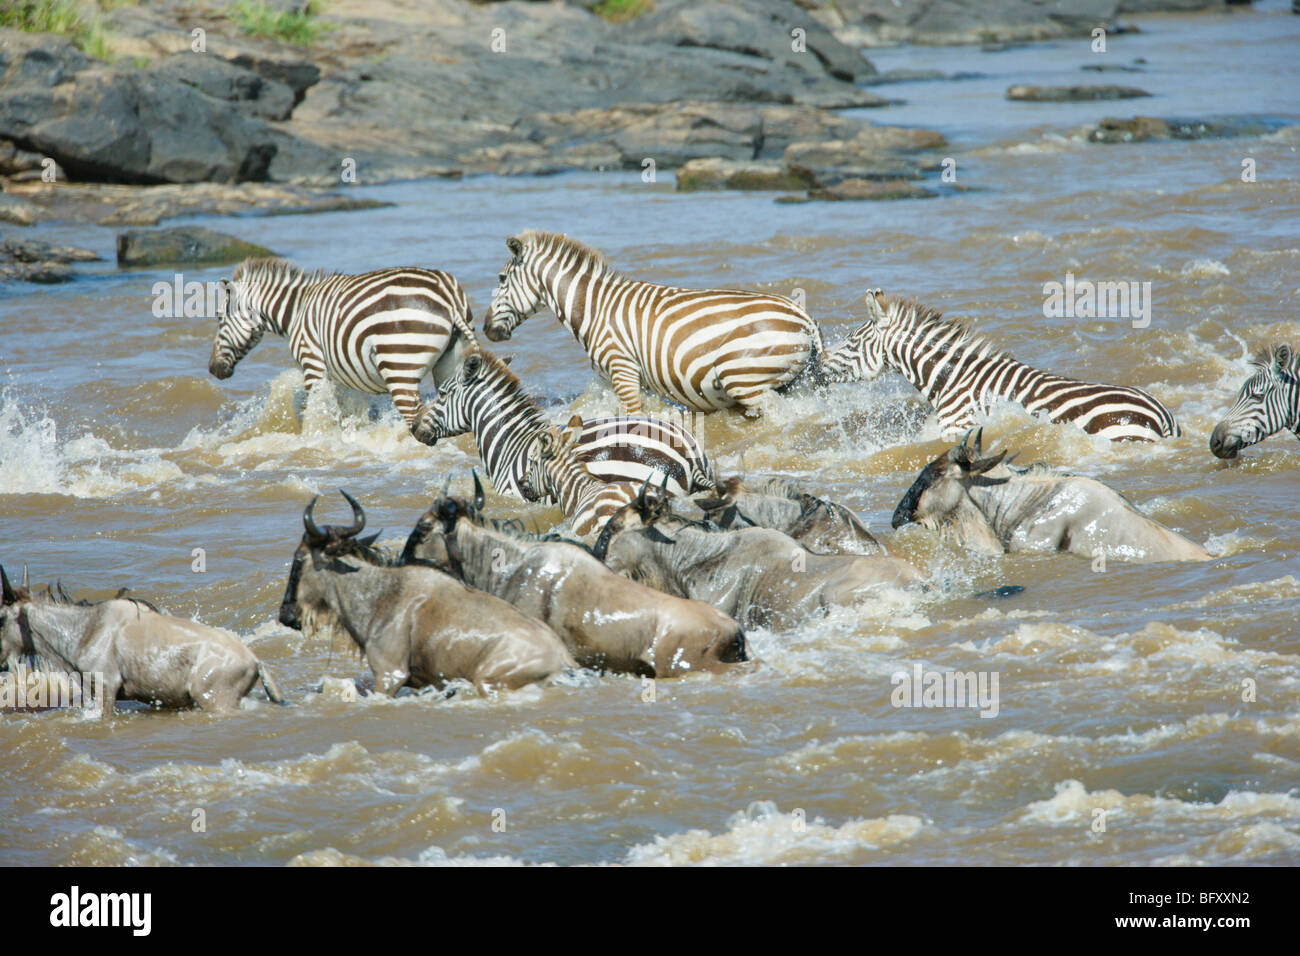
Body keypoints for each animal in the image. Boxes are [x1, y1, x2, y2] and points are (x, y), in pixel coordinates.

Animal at [208, 258, 477, 441]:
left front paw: (315, 439)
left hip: (399, 364)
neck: (296, 311)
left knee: (414, 415)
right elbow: (340, 412)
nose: (212, 369)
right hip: (450, 364)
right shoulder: (339, 376)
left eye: (220, 319)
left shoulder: (312, 362)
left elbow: (316, 409)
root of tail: (449, 298)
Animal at [483, 230, 824, 415]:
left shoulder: (622, 369)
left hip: (743, 376)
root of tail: (802, 315)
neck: (594, 308)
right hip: (789, 383)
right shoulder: (612, 379)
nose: (486, 329)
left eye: (500, 279)